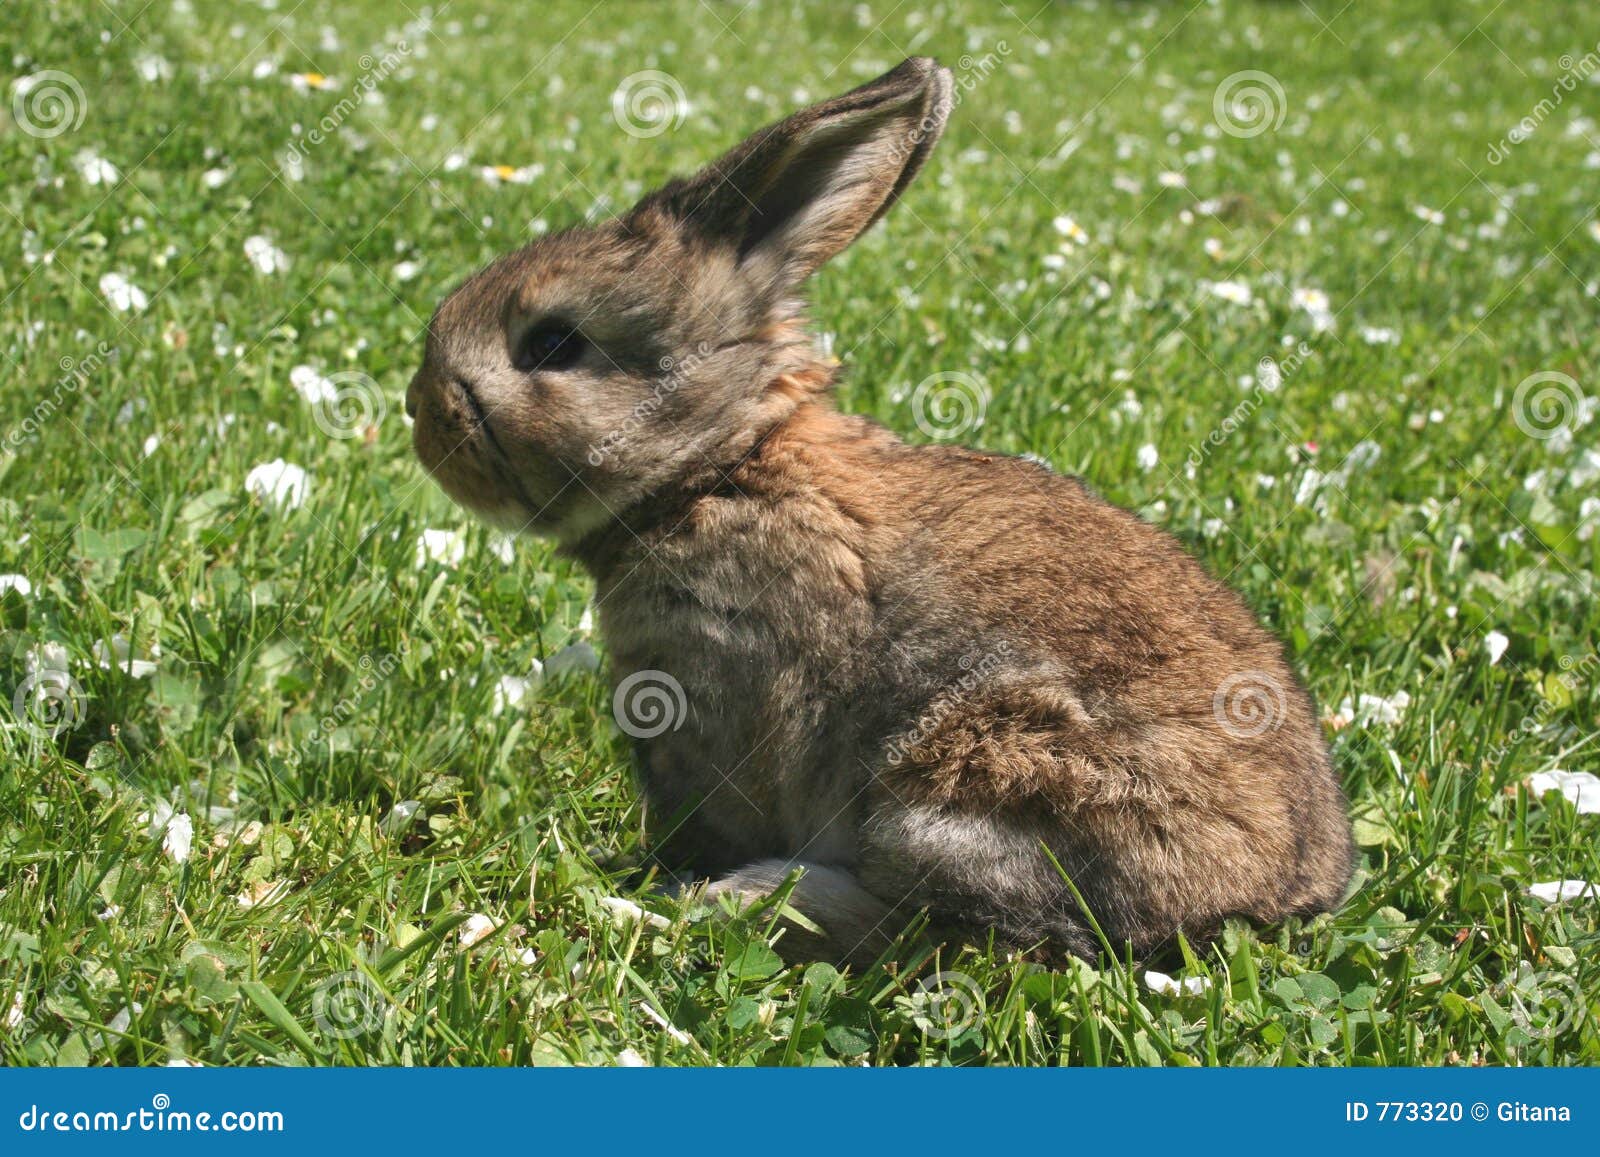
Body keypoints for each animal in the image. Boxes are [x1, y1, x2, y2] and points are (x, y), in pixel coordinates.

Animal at [406, 57, 1354, 967]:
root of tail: (1274, 896)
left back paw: (727, 901)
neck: (718, 470)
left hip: (975, 777)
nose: (423, 412)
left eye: (554, 344)